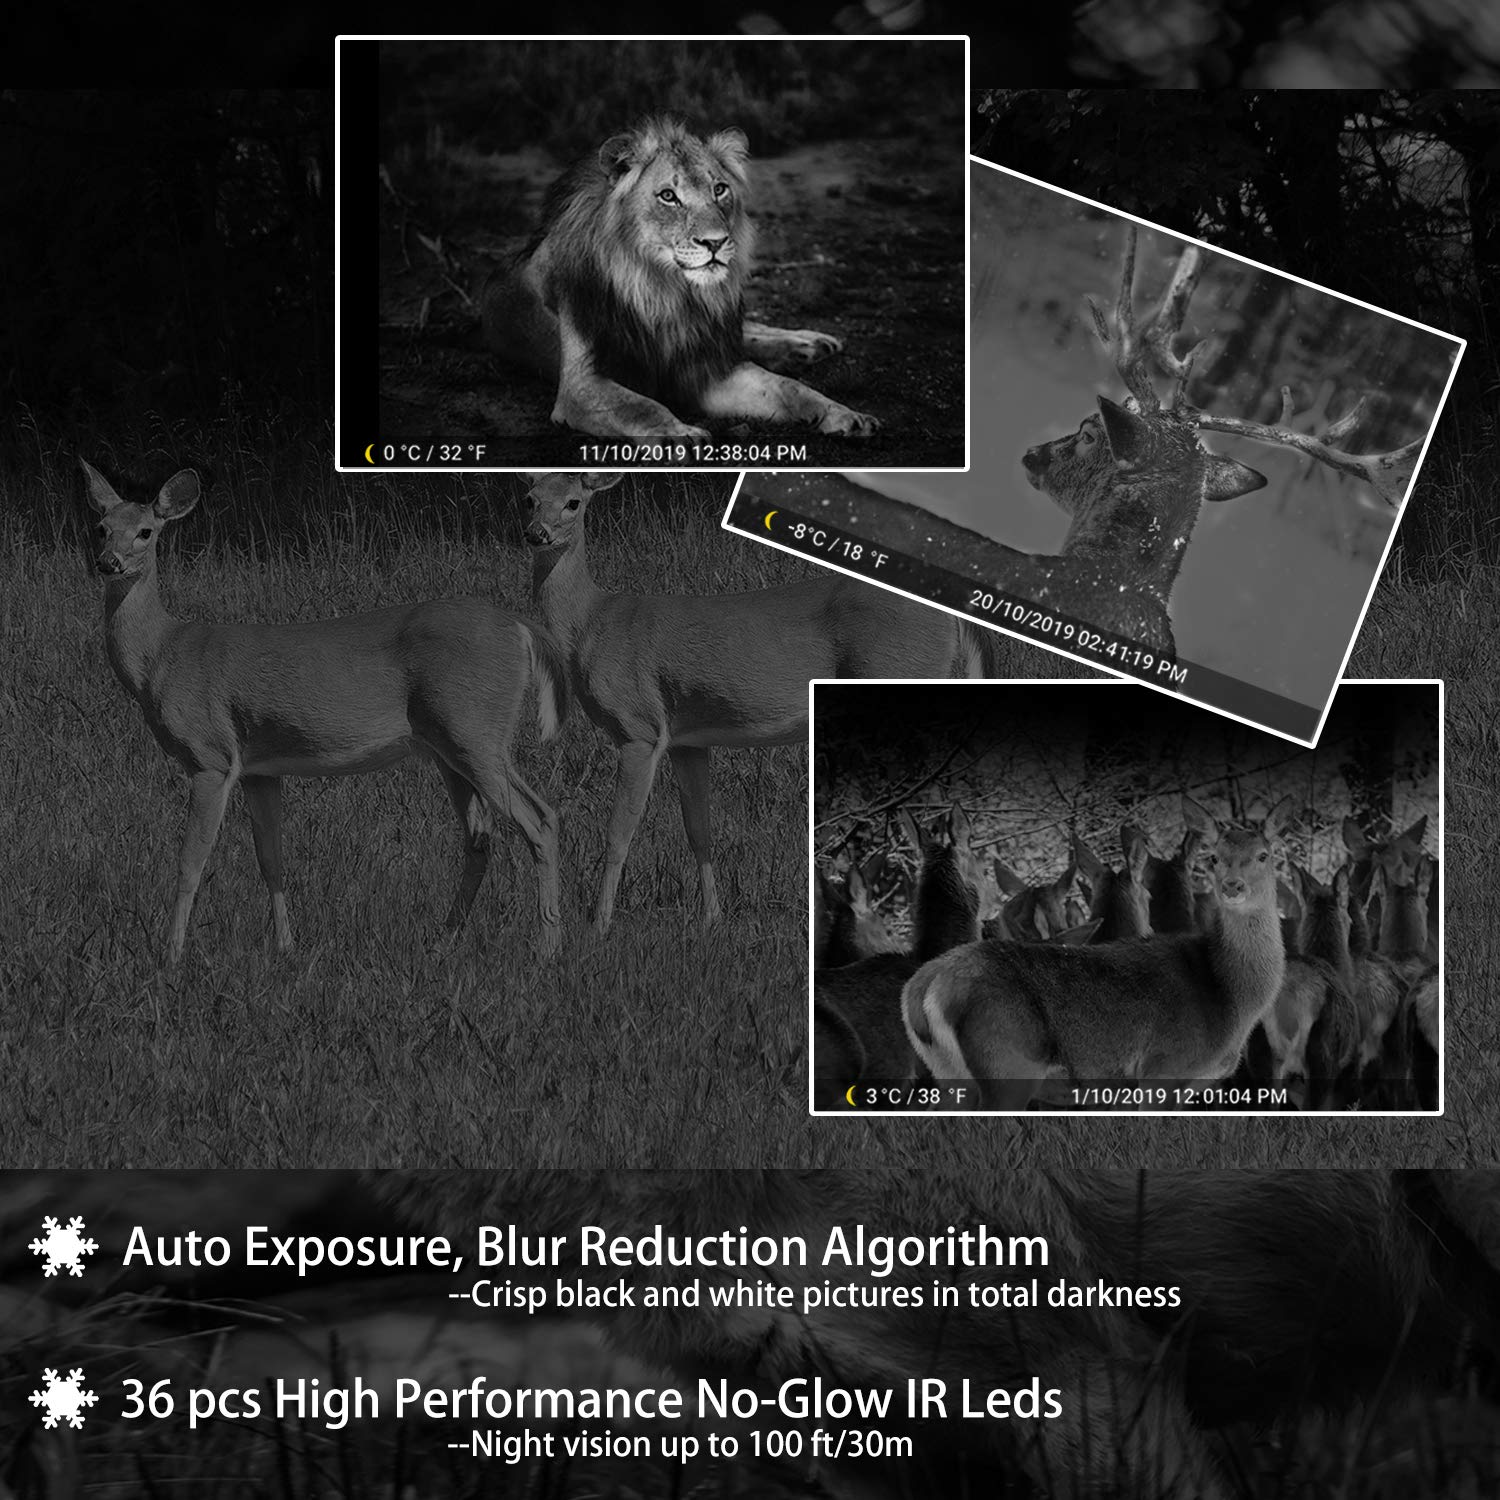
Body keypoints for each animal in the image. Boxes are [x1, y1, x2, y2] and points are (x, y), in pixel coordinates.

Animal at [84, 459, 564, 963]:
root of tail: (520, 628)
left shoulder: (210, 756)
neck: (161, 655)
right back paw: (444, 938)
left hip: (475, 729)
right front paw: (286, 946)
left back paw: (548, 947)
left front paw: (171, 954)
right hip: (451, 746)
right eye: (100, 527)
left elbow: (189, 861)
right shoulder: (259, 768)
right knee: (479, 836)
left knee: (540, 820)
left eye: (145, 531)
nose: (108, 562)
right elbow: (271, 859)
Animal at [522, 470, 1002, 933]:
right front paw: (712, 920)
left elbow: (618, 833)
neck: (591, 624)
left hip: (897, 670)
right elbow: (699, 829)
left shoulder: (638, 727)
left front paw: (598, 926)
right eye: (529, 498)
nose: (536, 533)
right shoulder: (686, 739)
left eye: (573, 502)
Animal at [904, 794, 1292, 1109]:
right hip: (1005, 1062)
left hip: (949, 1075)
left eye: (1264, 855)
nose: (1232, 886)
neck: (1229, 994)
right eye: (1214, 858)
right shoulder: (1162, 1068)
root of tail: (920, 986)